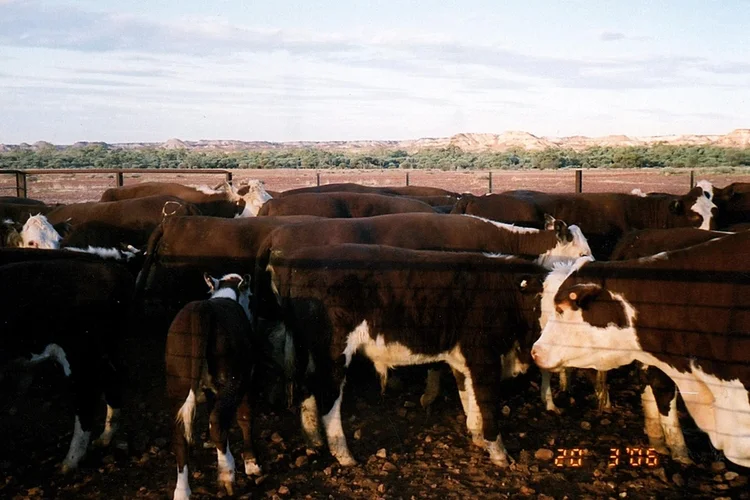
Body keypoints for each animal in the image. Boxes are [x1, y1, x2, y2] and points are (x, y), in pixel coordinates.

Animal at [0, 259, 133, 472]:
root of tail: (113, 271)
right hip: (105, 351)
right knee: (111, 383)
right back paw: (104, 438)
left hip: (80, 355)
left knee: (86, 400)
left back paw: (70, 461)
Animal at [166, 273, 260, 500]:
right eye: (251, 297)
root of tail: (201, 308)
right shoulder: (248, 378)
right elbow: (245, 417)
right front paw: (252, 463)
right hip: (234, 380)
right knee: (217, 422)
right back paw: (227, 474)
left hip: (177, 384)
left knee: (180, 435)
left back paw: (182, 491)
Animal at [267, 243, 550, 467]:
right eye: (549, 302)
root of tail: (293, 258)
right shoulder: (484, 356)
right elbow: (486, 400)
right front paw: (500, 453)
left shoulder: (464, 356)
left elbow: (469, 393)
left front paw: (477, 435)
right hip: (334, 351)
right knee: (329, 393)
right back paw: (344, 454)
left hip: (307, 349)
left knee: (307, 385)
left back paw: (313, 438)